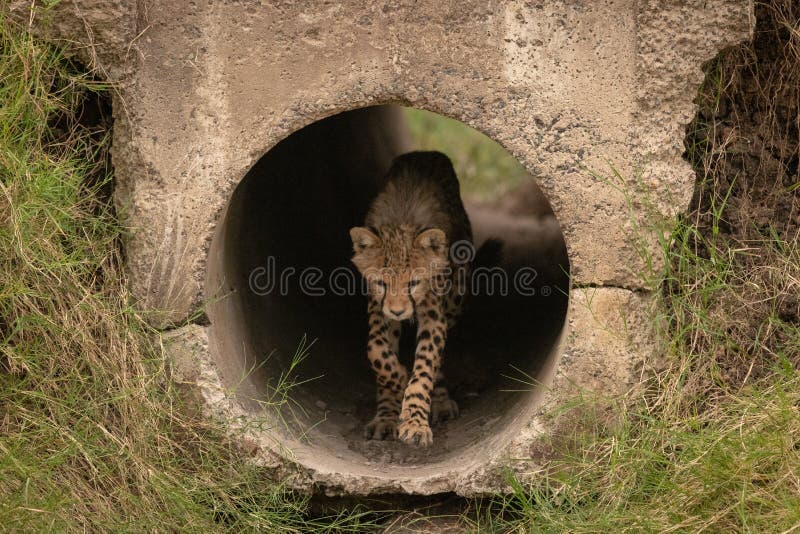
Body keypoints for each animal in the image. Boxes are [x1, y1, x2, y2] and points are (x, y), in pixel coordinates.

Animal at [349, 151, 474, 447]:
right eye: (382, 283)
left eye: (414, 283)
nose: (397, 311)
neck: (401, 224)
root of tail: (426, 152)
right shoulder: (378, 310)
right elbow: (376, 351)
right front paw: (394, 394)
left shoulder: (433, 315)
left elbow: (426, 364)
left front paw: (415, 421)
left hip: (455, 299)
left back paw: (439, 401)